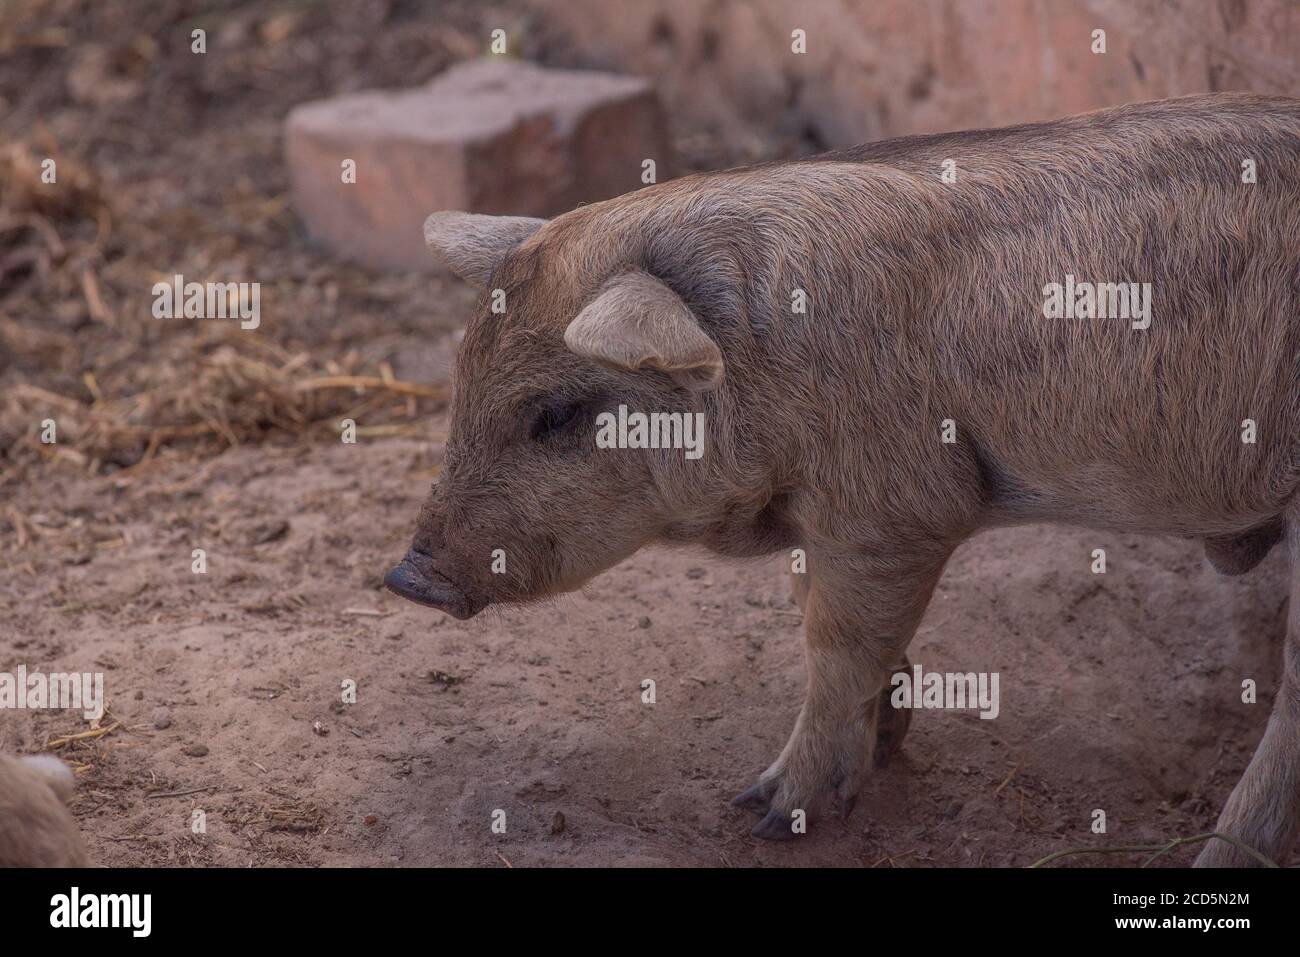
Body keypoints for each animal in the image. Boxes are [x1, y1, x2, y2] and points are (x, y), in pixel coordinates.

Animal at [385, 92, 1300, 866]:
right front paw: (886, 742)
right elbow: (813, 609)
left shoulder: (897, 508)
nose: (405, 576)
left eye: (554, 415)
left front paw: (762, 815)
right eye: (462, 376)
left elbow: (837, 638)